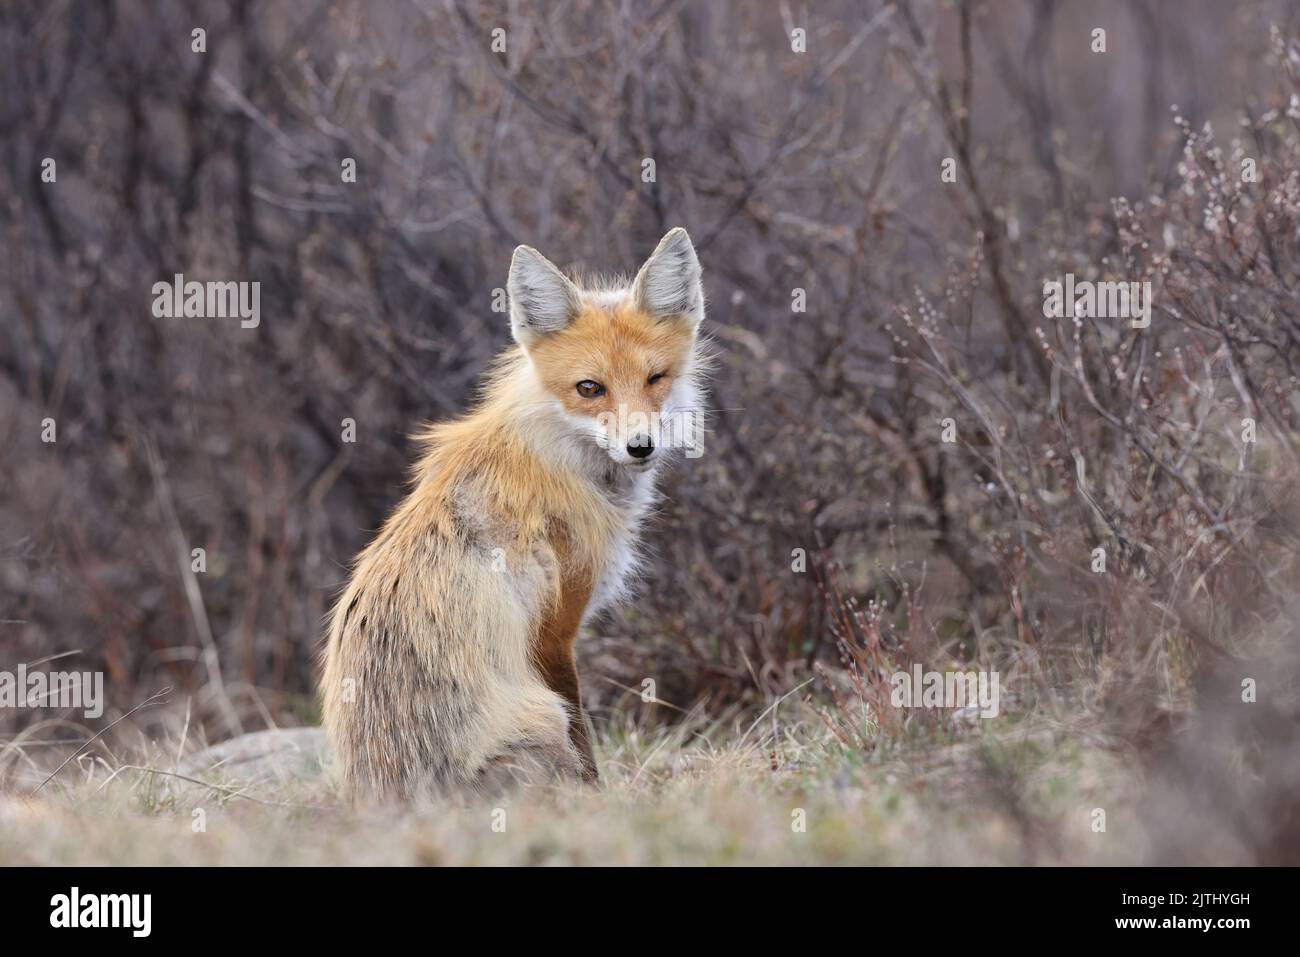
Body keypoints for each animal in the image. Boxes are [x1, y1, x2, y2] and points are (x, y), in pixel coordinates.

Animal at [321, 228, 708, 802]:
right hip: (540, 716)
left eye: (655, 378)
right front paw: (602, 804)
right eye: (589, 388)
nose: (641, 446)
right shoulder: (554, 633)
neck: (555, 454)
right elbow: (585, 743)